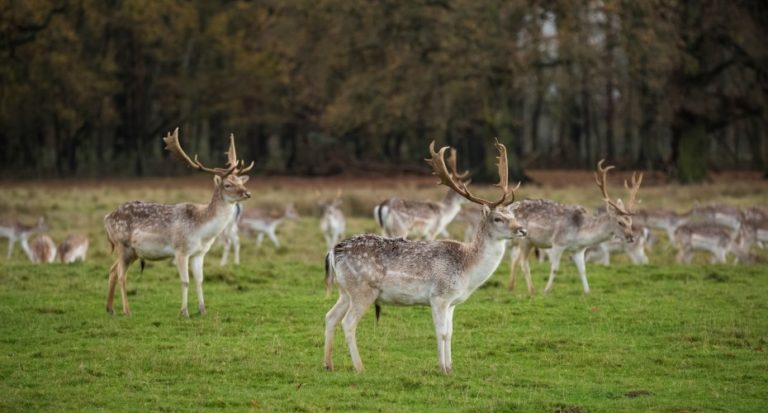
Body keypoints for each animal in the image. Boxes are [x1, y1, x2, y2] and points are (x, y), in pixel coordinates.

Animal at [104, 127, 253, 317]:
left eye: (240, 181)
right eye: (227, 184)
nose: (247, 193)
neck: (202, 231)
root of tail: (107, 217)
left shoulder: (199, 253)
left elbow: (200, 280)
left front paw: (202, 310)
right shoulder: (180, 250)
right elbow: (185, 281)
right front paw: (184, 312)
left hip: (133, 252)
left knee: (112, 270)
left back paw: (110, 309)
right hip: (122, 244)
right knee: (122, 275)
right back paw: (127, 311)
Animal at [324, 139, 527, 374]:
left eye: (512, 215)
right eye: (498, 218)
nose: (523, 230)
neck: (467, 270)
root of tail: (333, 251)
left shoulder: (452, 302)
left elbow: (451, 333)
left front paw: (450, 367)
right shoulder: (439, 296)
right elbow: (442, 333)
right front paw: (443, 369)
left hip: (345, 290)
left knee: (330, 317)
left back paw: (328, 364)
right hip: (363, 290)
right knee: (348, 323)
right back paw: (359, 367)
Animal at [508, 160, 643, 295]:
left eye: (630, 221)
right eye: (620, 222)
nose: (631, 238)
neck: (580, 233)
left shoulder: (578, 250)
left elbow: (582, 270)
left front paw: (587, 292)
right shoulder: (557, 243)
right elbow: (555, 268)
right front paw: (546, 291)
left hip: (526, 242)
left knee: (515, 260)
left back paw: (512, 287)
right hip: (524, 240)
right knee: (523, 263)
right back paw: (532, 291)